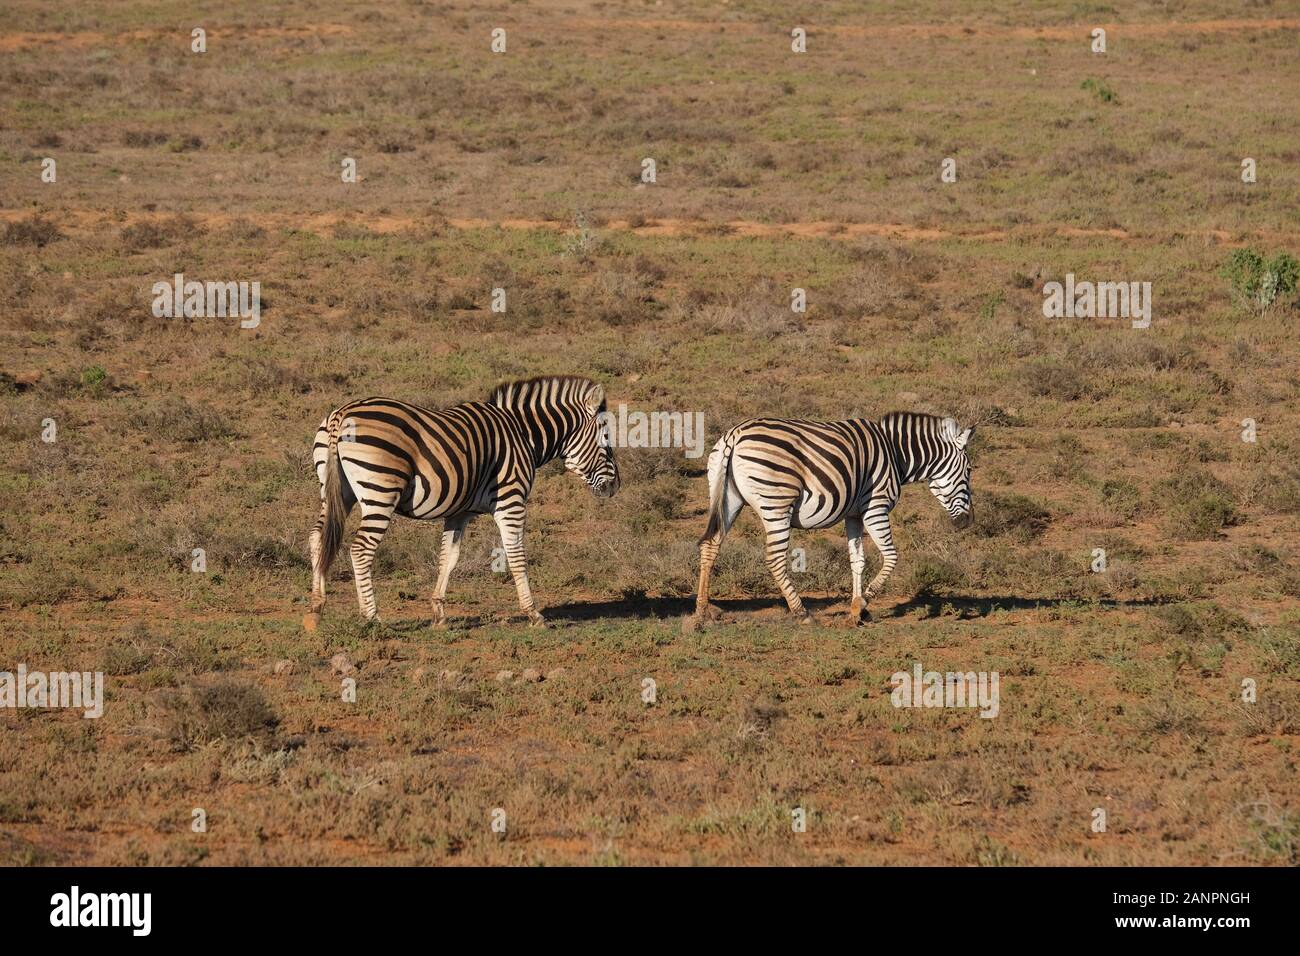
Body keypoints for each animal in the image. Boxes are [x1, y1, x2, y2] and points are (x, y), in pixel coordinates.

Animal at [304, 376, 619, 630]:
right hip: (380, 492)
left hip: (335, 491)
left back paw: (316, 609)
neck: (523, 434)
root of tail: (342, 413)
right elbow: (516, 555)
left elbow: (449, 557)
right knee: (360, 549)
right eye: (606, 439)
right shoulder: (511, 500)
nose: (616, 487)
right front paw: (533, 614)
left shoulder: (459, 512)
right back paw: (372, 617)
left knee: (317, 537)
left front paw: (439, 613)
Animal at [693, 412, 975, 623]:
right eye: (970, 470)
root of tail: (734, 434)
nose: (967, 522)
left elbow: (857, 561)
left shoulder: (854, 515)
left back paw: (702, 611)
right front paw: (864, 602)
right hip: (777, 502)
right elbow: (891, 557)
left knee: (710, 544)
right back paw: (801, 612)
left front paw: (857, 611)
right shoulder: (876, 507)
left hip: (728, 497)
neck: (897, 455)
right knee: (774, 558)